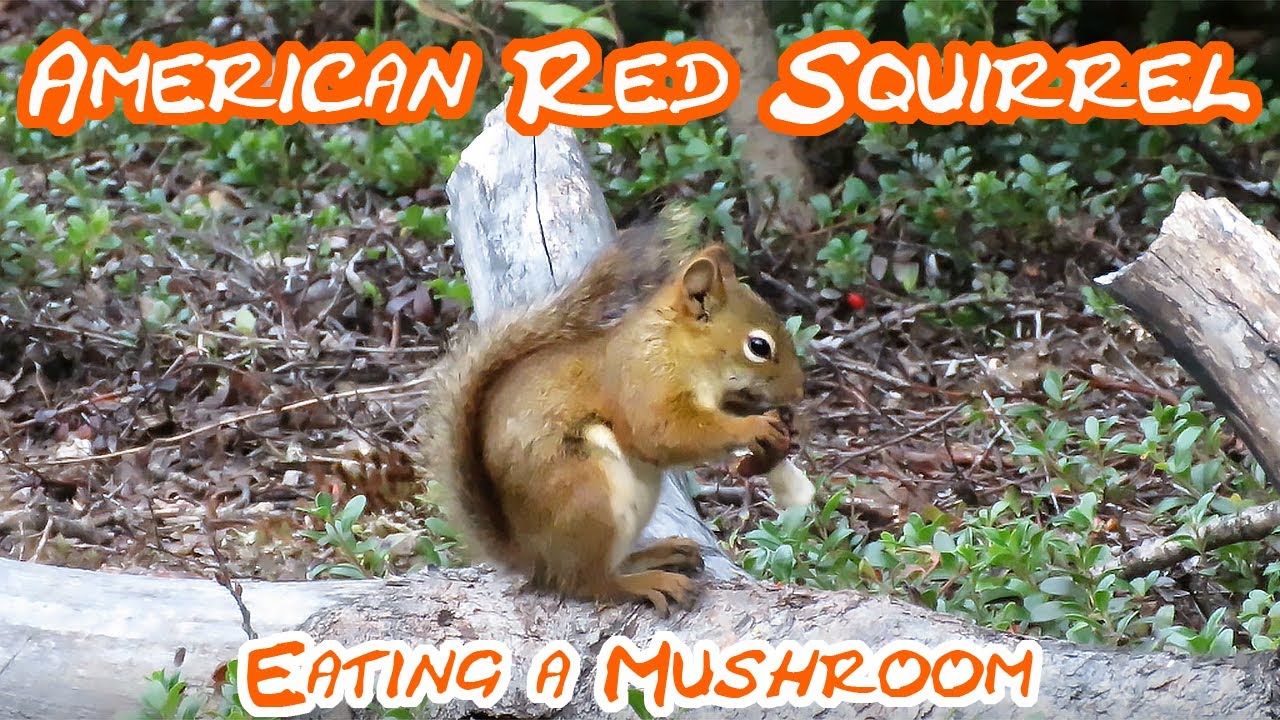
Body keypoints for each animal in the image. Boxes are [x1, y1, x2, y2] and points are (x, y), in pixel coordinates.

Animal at [417, 219, 806, 615]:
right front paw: (754, 426)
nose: (799, 392)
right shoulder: (643, 386)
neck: (671, 347)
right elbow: (665, 434)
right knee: (590, 583)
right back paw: (647, 583)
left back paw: (664, 553)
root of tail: (533, 558)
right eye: (758, 346)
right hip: (589, 498)